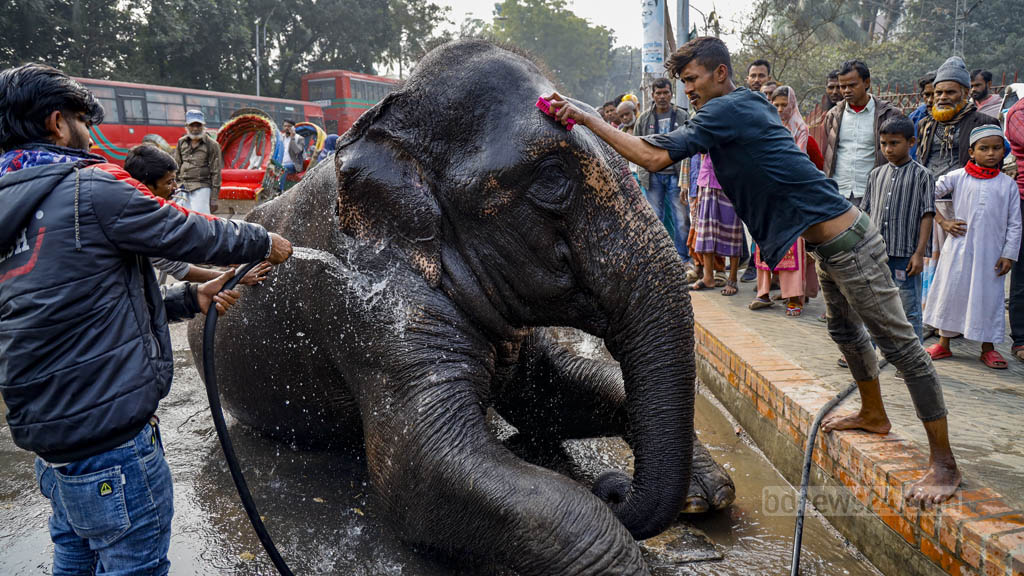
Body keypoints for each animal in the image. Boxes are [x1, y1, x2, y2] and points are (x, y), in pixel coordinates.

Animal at [189, 39, 734, 575]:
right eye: (551, 176)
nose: (614, 489)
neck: (387, 124)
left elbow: (552, 394)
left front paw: (707, 495)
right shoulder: (360, 299)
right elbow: (420, 472)